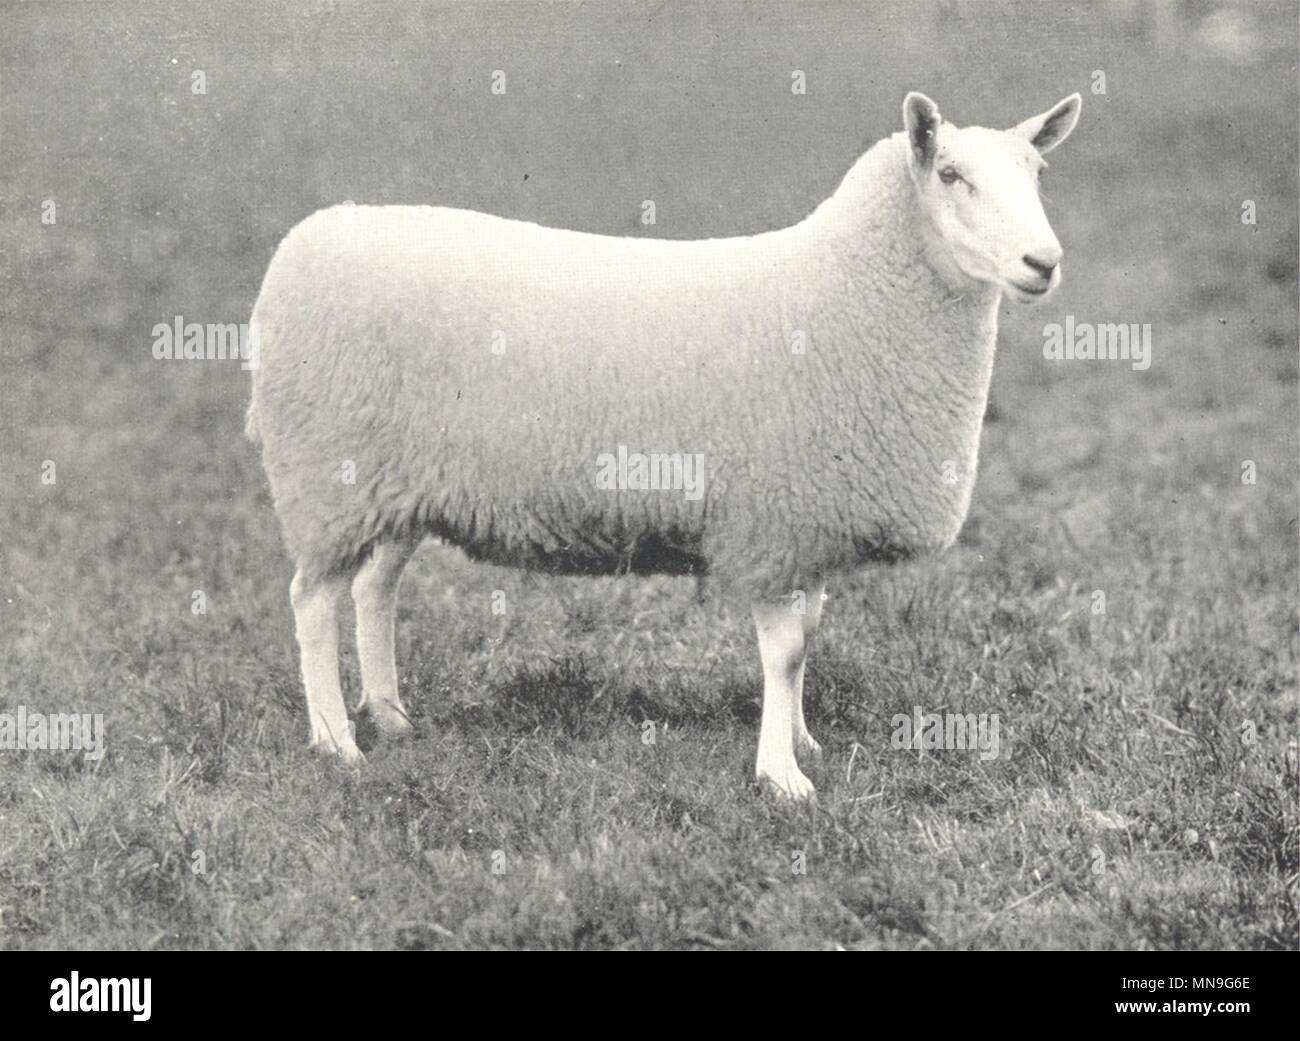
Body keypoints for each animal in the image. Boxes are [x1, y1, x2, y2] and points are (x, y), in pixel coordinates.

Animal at [247, 90, 1081, 800]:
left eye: (1038, 172)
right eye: (950, 174)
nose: (1044, 262)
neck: (849, 290)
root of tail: (309, 237)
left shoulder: (807, 524)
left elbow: (808, 636)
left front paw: (803, 740)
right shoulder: (771, 523)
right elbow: (785, 651)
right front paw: (782, 776)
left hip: (392, 484)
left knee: (373, 590)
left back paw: (389, 714)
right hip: (327, 477)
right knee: (313, 601)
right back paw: (337, 742)